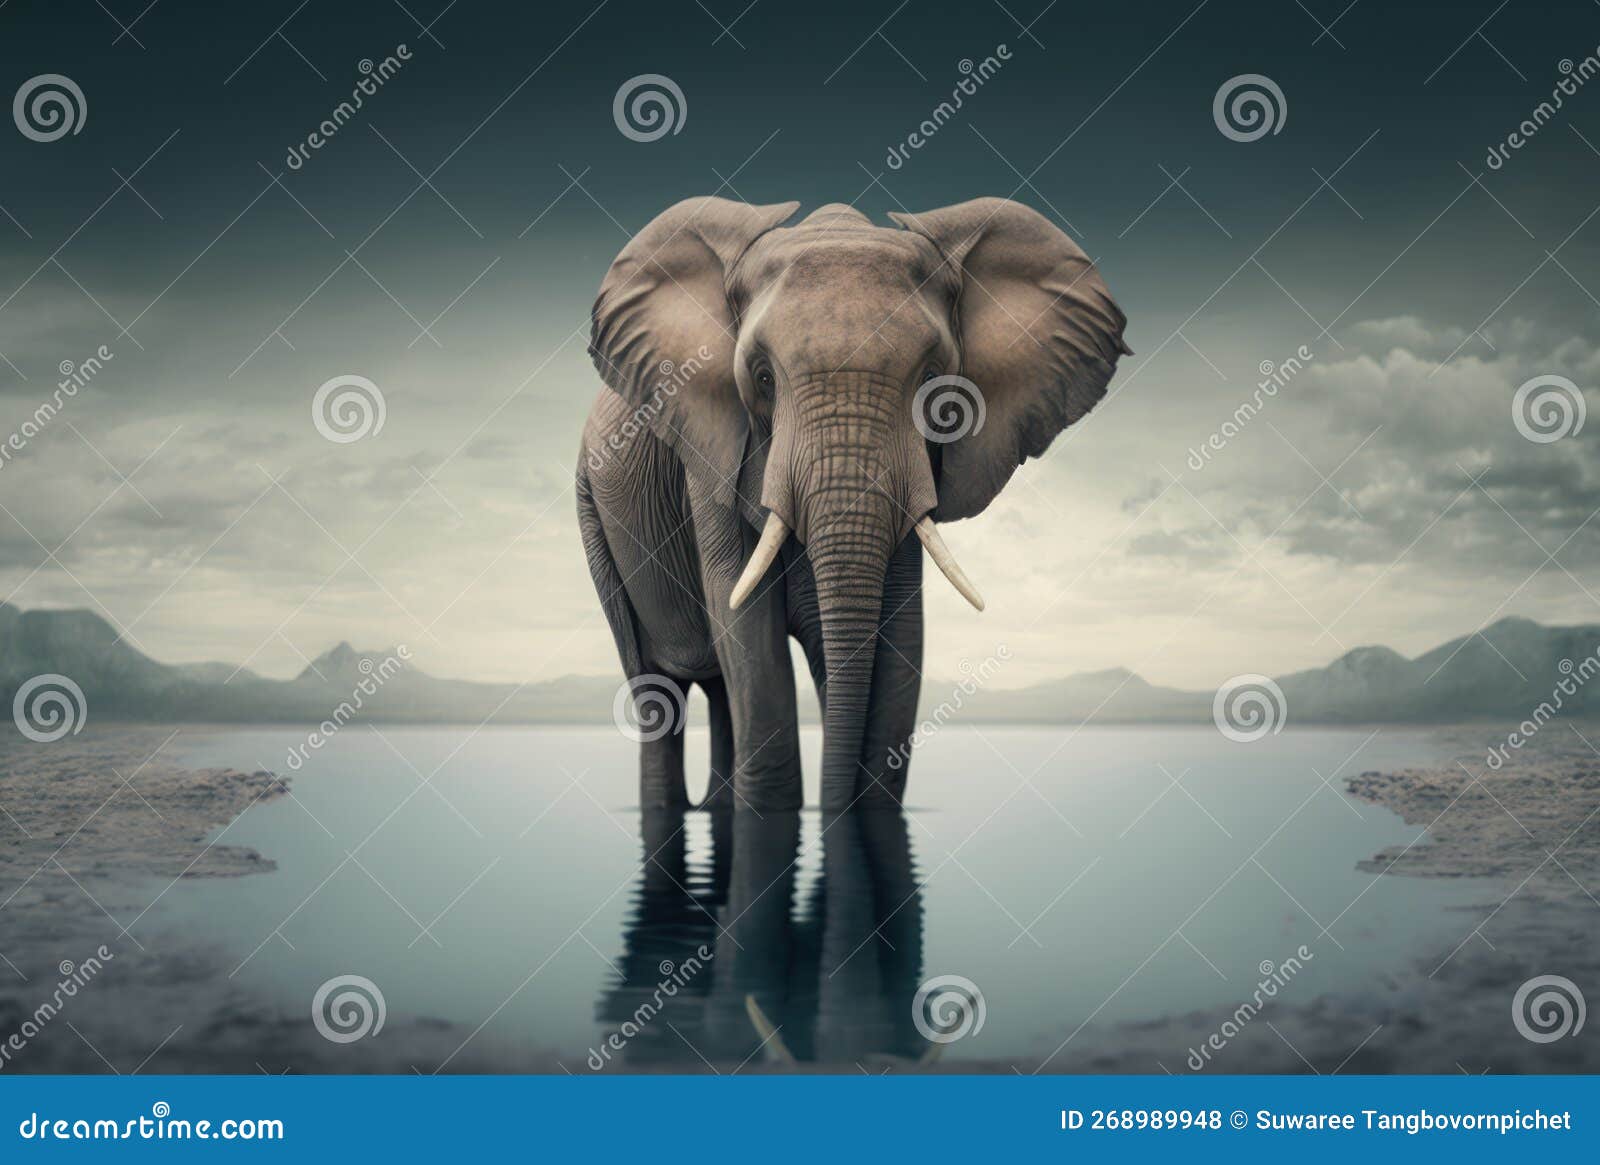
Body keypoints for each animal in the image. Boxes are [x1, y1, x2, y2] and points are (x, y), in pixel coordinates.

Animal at [577, 197, 1129, 811]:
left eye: (935, 384)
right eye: (762, 378)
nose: (832, 806)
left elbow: (901, 634)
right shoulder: (709, 451)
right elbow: (744, 621)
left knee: (720, 691)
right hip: (592, 510)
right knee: (655, 688)